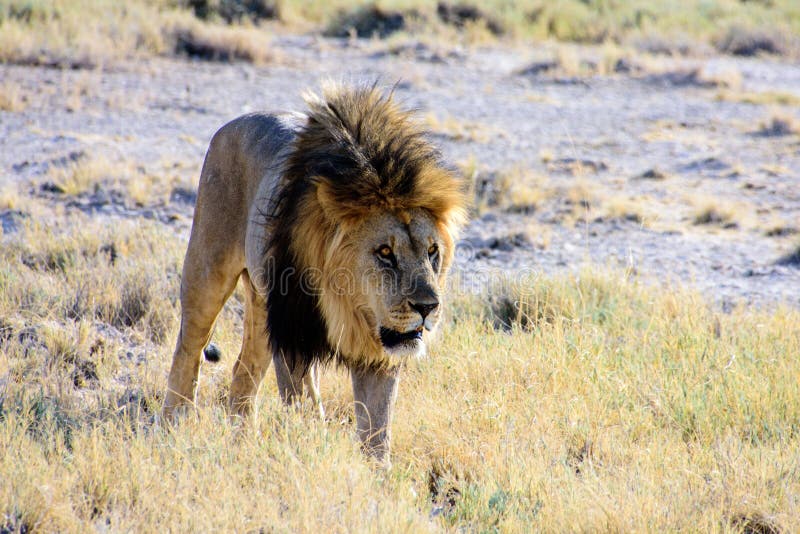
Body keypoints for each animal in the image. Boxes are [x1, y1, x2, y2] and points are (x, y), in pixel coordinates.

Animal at [163, 83, 465, 464]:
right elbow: (305, 406)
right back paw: (174, 426)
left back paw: (242, 442)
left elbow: (377, 429)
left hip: (262, 308)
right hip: (207, 275)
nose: (427, 307)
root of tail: (234, 122)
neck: (349, 306)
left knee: (243, 372)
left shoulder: (379, 354)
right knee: (187, 352)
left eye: (432, 251)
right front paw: (311, 452)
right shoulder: (292, 332)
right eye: (385, 253)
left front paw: (376, 474)